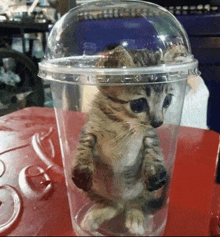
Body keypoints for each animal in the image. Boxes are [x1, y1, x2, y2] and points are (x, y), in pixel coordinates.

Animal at [71, 44, 187, 235]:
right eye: (138, 104)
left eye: (167, 101)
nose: (158, 122)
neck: (122, 124)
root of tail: (122, 200)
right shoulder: (91, 127)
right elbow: (84, 144)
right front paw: (82, 166)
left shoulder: (148, 133)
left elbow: (153, 148)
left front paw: (154, 168)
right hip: (93, 189)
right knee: (115, 206)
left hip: (145, 193)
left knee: (134, 204)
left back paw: (136, 218)